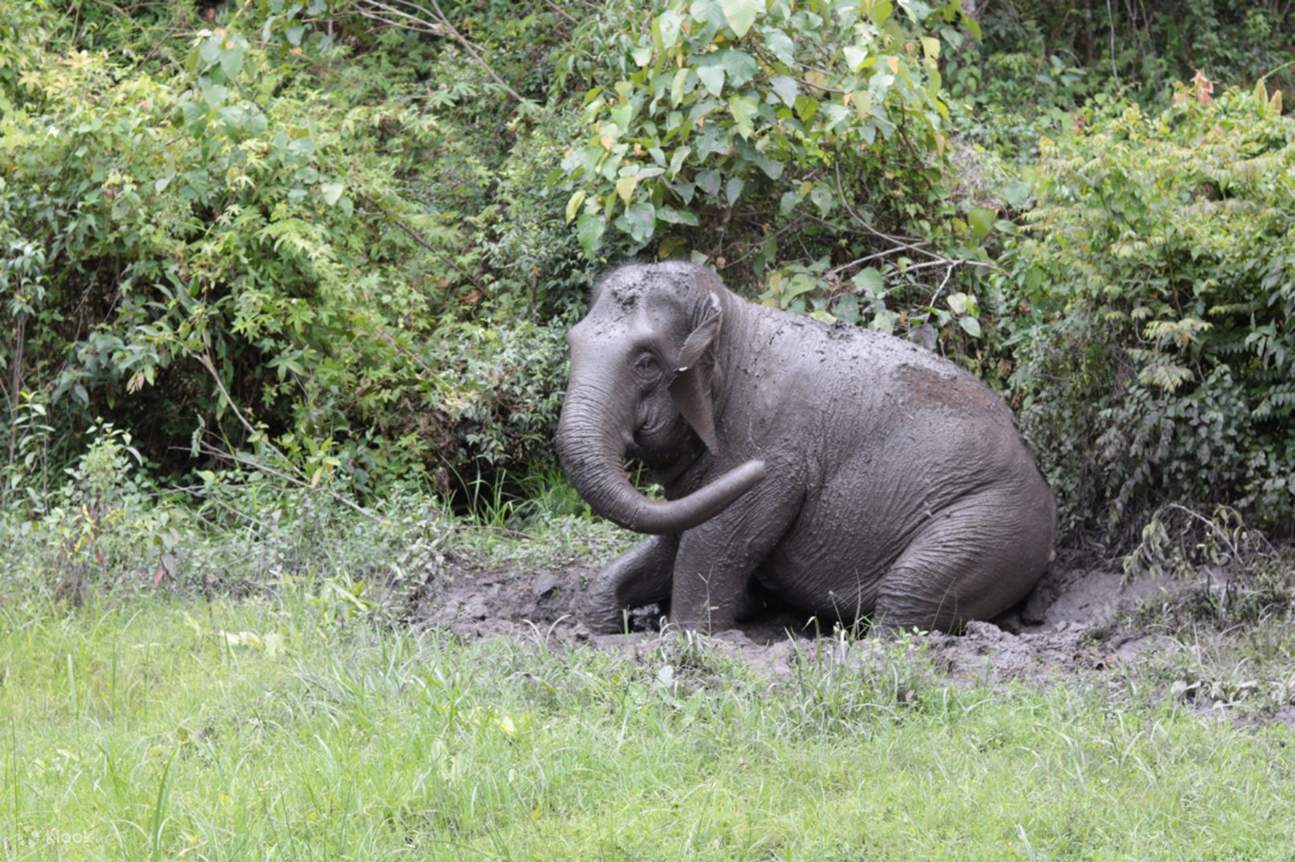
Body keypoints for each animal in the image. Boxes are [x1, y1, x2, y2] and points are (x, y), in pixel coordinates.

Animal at [555, 262, 1056, 634]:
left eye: (645, 362)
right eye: (571, 344)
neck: (734, 321)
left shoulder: (775, 454)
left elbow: (714, 537)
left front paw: (688, 635)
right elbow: (672, 537)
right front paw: (598, 626)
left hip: (995, 523)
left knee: (910, 590)